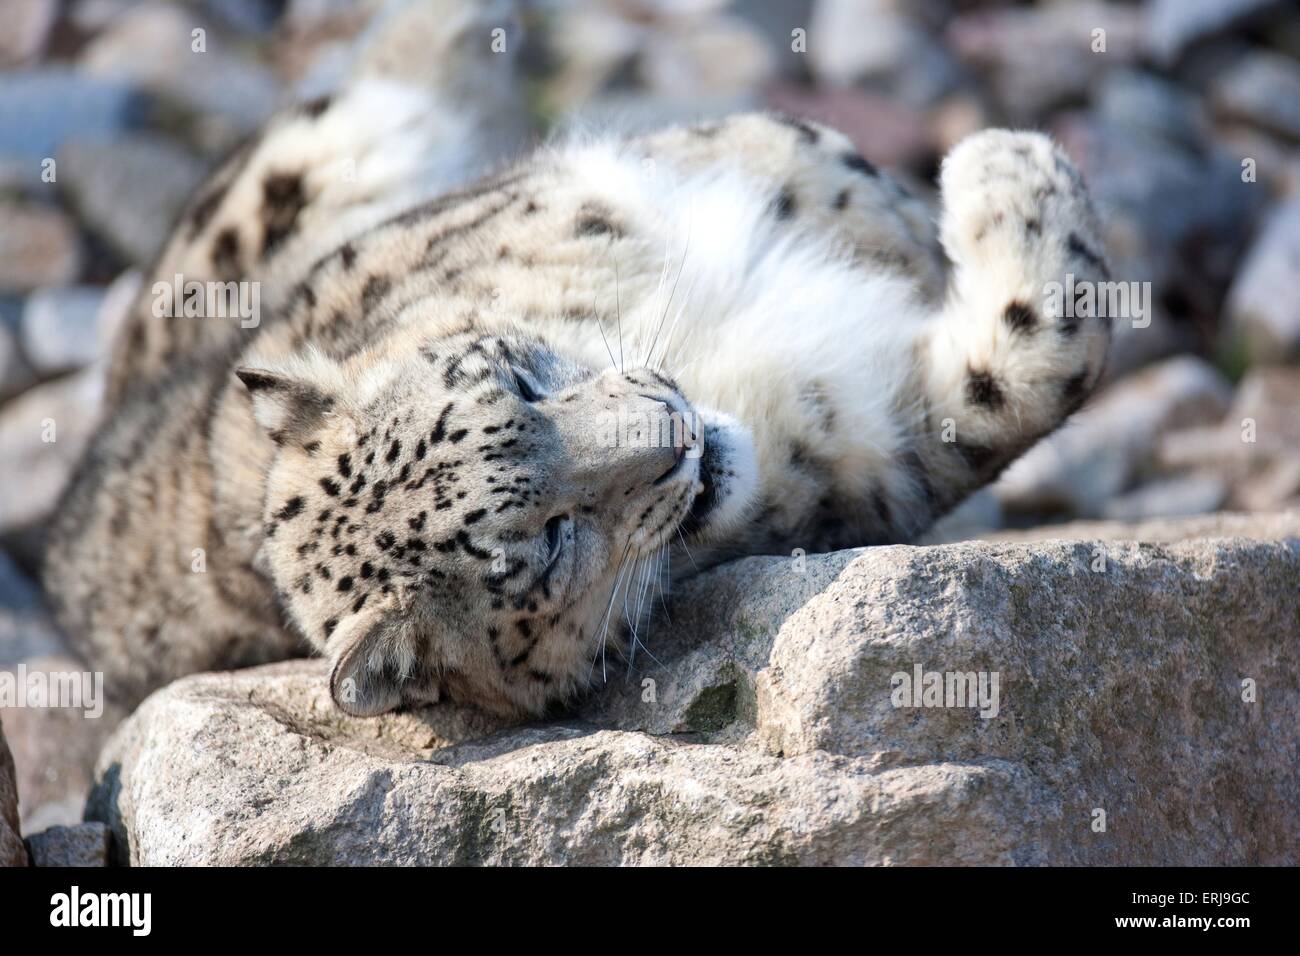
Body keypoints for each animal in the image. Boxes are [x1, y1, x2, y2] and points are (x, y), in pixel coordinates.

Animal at [43, 0, 1111, 719]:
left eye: (516, 376)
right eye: (548, 545)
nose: (676, 428)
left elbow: (799, 153)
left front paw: (925, 197)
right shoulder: (880, 461)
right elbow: (1033, 370)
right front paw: (1001, 169)